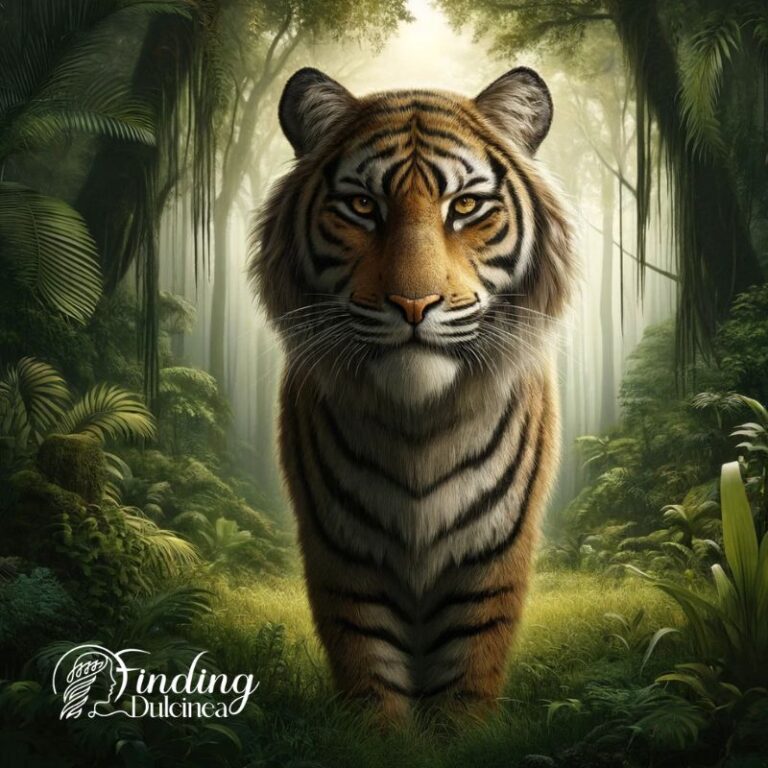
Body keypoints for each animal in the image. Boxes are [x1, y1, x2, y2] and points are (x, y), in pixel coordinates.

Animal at [251, 66, 575, 720]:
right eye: (362, 206)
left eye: (466, 206)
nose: (413, 304)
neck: (418, 420)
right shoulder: (343, 553)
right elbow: (371, 677)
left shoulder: (491, 553)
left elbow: (468, 675)